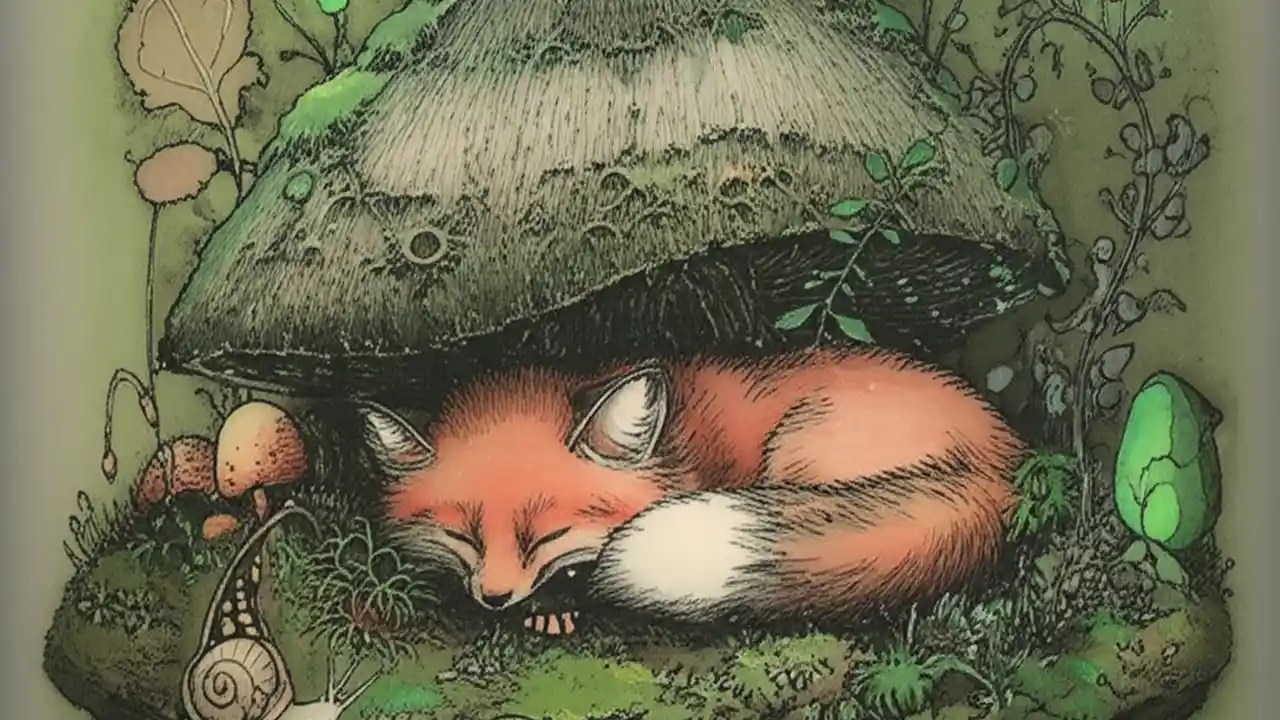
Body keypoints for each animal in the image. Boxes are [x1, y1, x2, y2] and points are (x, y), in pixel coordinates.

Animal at [353, 346, 1027, 628]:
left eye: (547, 534)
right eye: (460, 536)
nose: (493, 600)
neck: (682, 455)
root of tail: (1008, 470)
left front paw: (558, 607)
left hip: (797, 448)